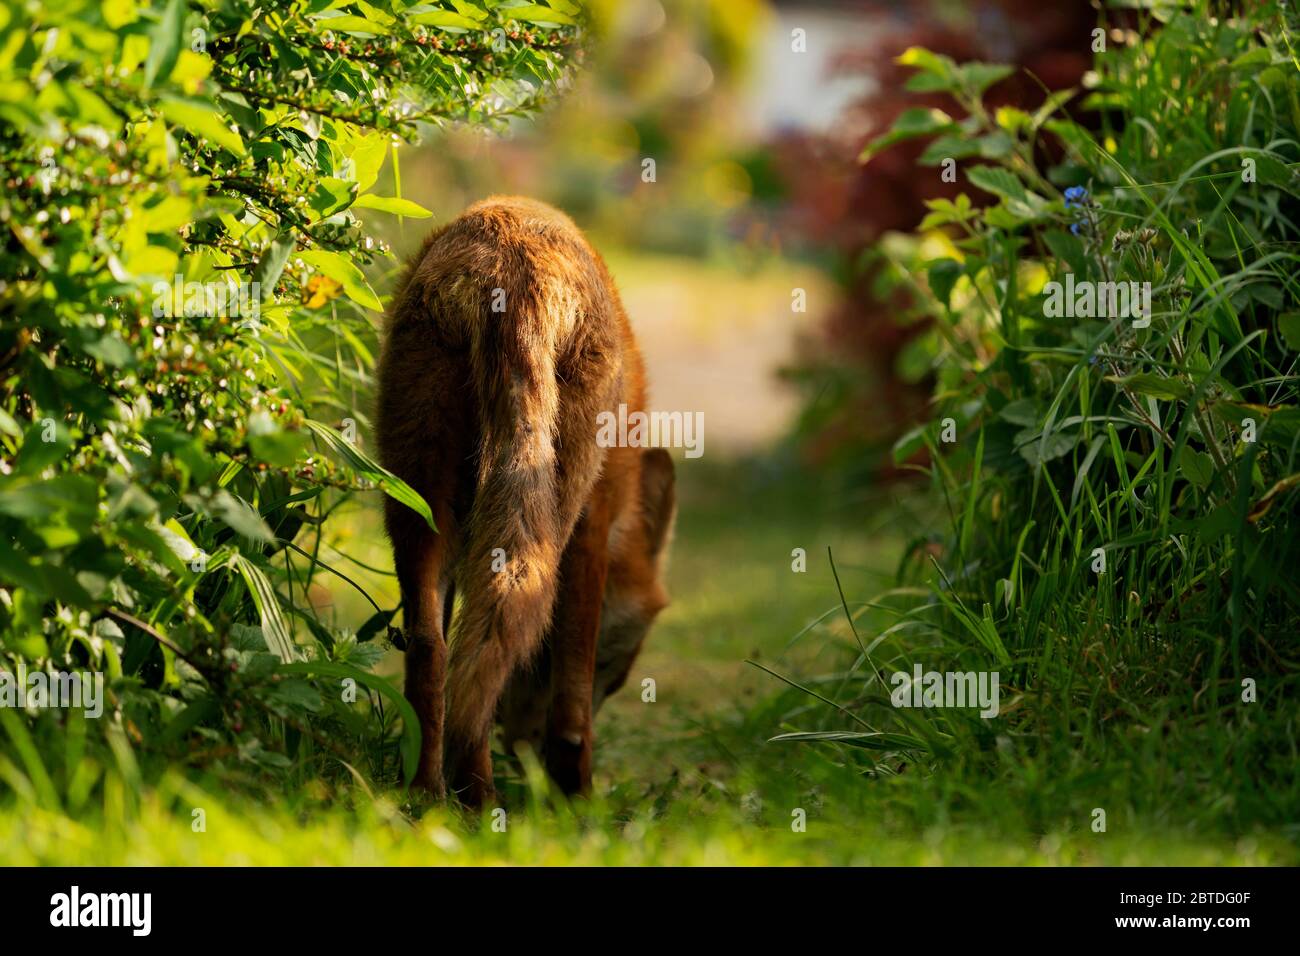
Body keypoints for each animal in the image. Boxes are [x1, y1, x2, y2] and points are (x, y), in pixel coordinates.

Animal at [376, 196, 676, 805]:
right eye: (617, 669)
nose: (522, 745)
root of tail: (507, 254)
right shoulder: (594, 523)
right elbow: (572, 699)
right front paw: (577, 796)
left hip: (415, 496)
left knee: (432, 651)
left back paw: (431, 794)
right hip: (556, 503)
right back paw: (486, 799)